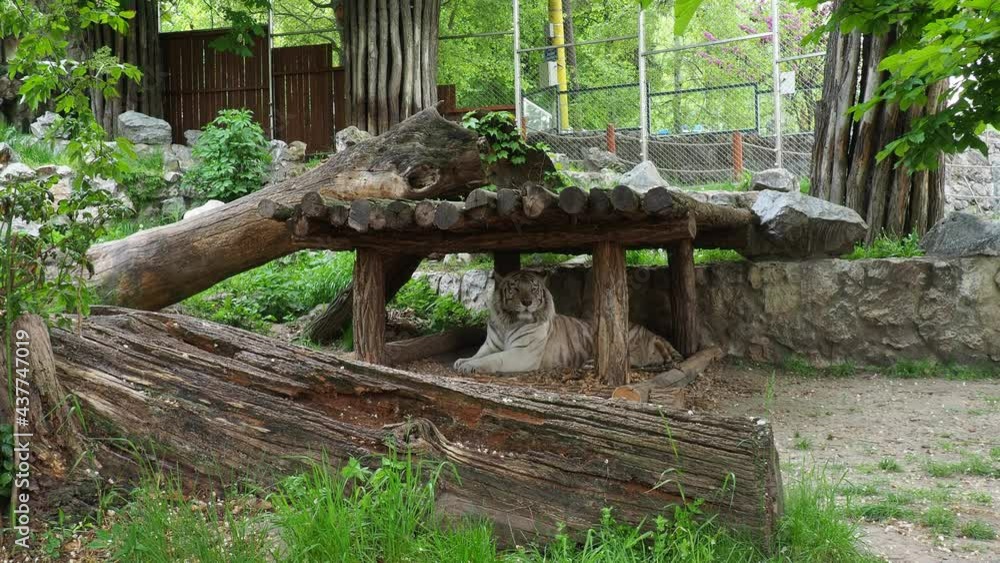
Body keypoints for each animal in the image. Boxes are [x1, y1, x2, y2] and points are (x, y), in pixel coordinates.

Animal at [453, 270, 682, 374]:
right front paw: (462, 360)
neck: (507, 322)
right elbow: (479, 354)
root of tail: (654, 334)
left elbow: (494, 359)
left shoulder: (523, 353)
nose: (527, 302)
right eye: (515, 288)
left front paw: (469, 366)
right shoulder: (490, 344)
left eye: (534, 289)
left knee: (630, 361)